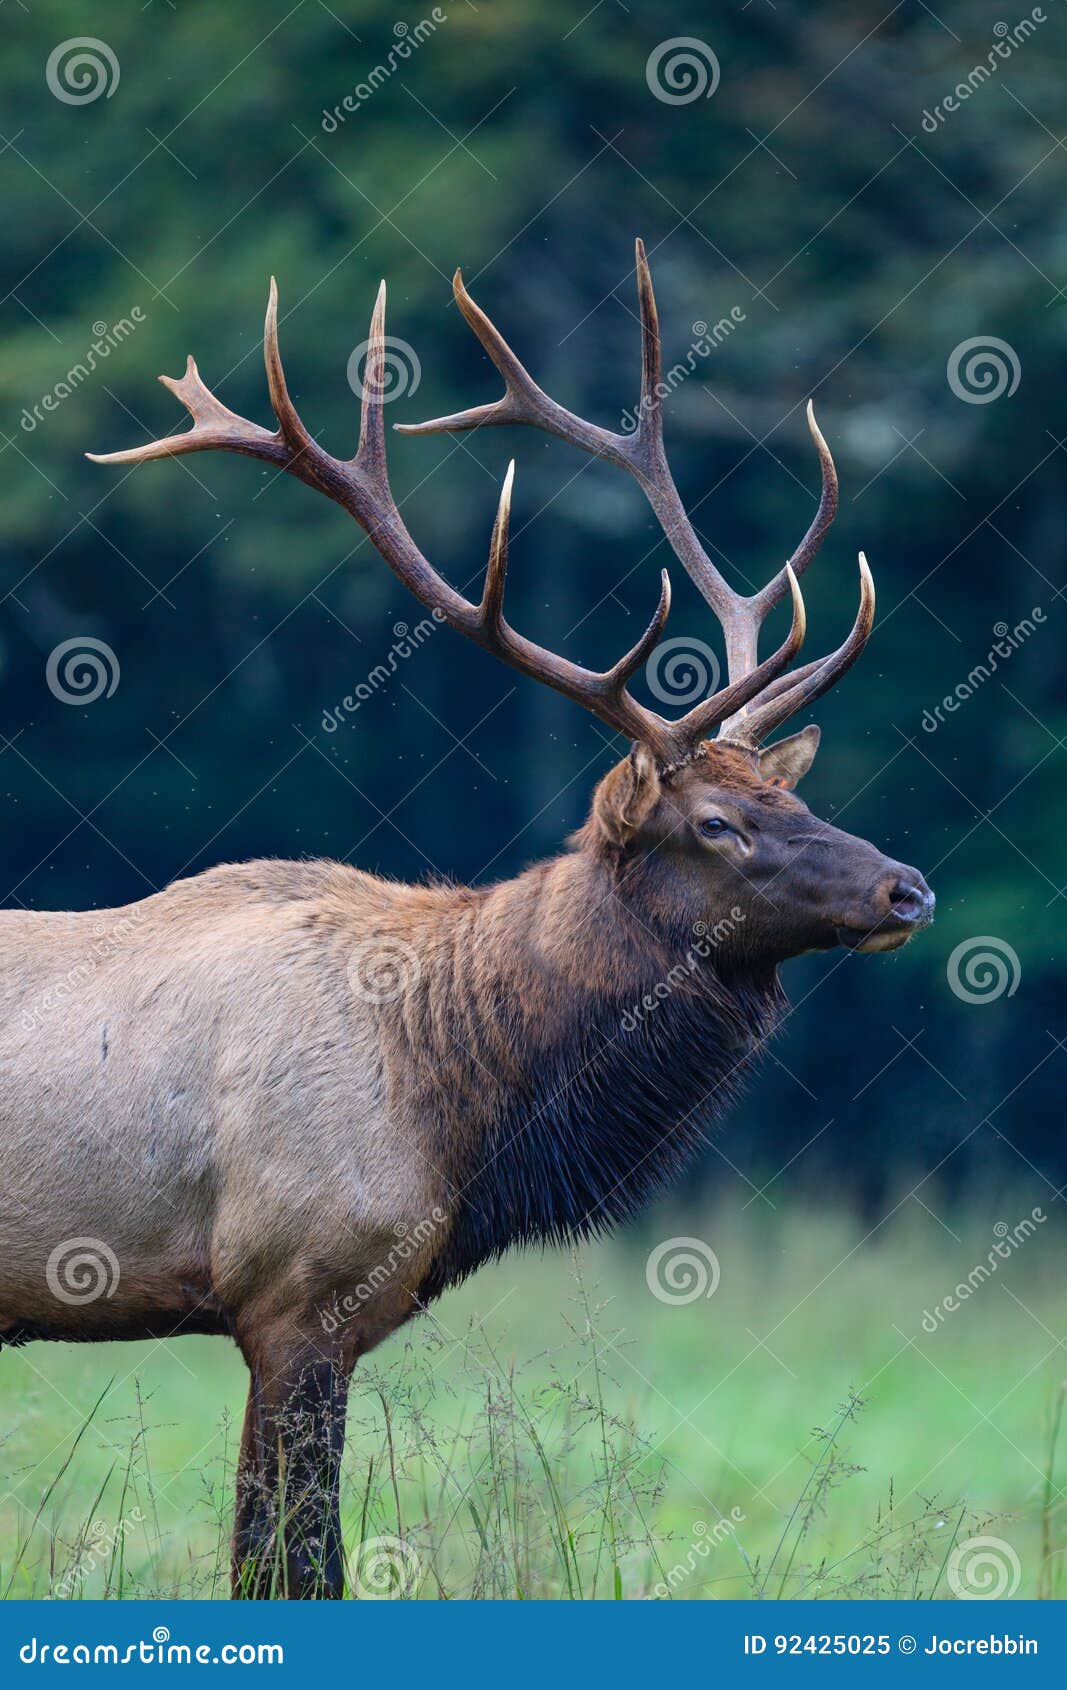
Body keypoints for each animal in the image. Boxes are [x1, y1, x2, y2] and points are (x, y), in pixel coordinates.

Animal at [0, 241, 934, 1600]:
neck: (459, 1101)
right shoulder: (292, 1293)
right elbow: (292, 1563)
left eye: (792, 794)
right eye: (714, 822)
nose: (905, 887)